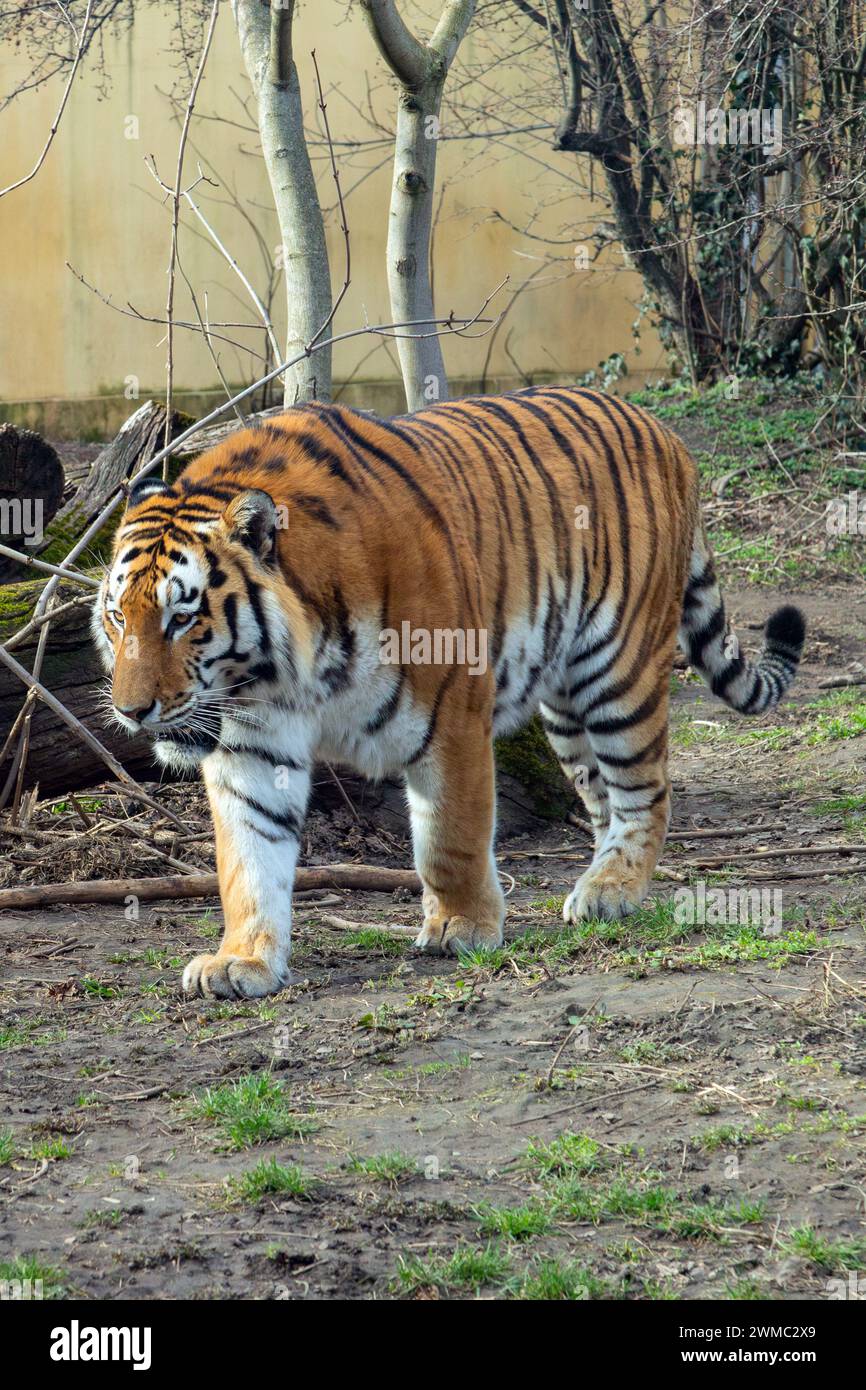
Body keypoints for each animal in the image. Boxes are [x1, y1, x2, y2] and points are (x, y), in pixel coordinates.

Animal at [92, 386, 805, 1000]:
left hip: (618, 672)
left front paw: (463, 927)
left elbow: (449, 839)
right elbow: (247, 860)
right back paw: (594, 879)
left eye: (181, 618)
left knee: (646, 793)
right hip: (564, 704)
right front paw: (242, 960)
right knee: (602, 799)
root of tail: (666, 433)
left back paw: (614, 890)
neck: (285, 673)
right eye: (119, 616)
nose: (131, 710)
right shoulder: (252, 748)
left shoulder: (452, 715)